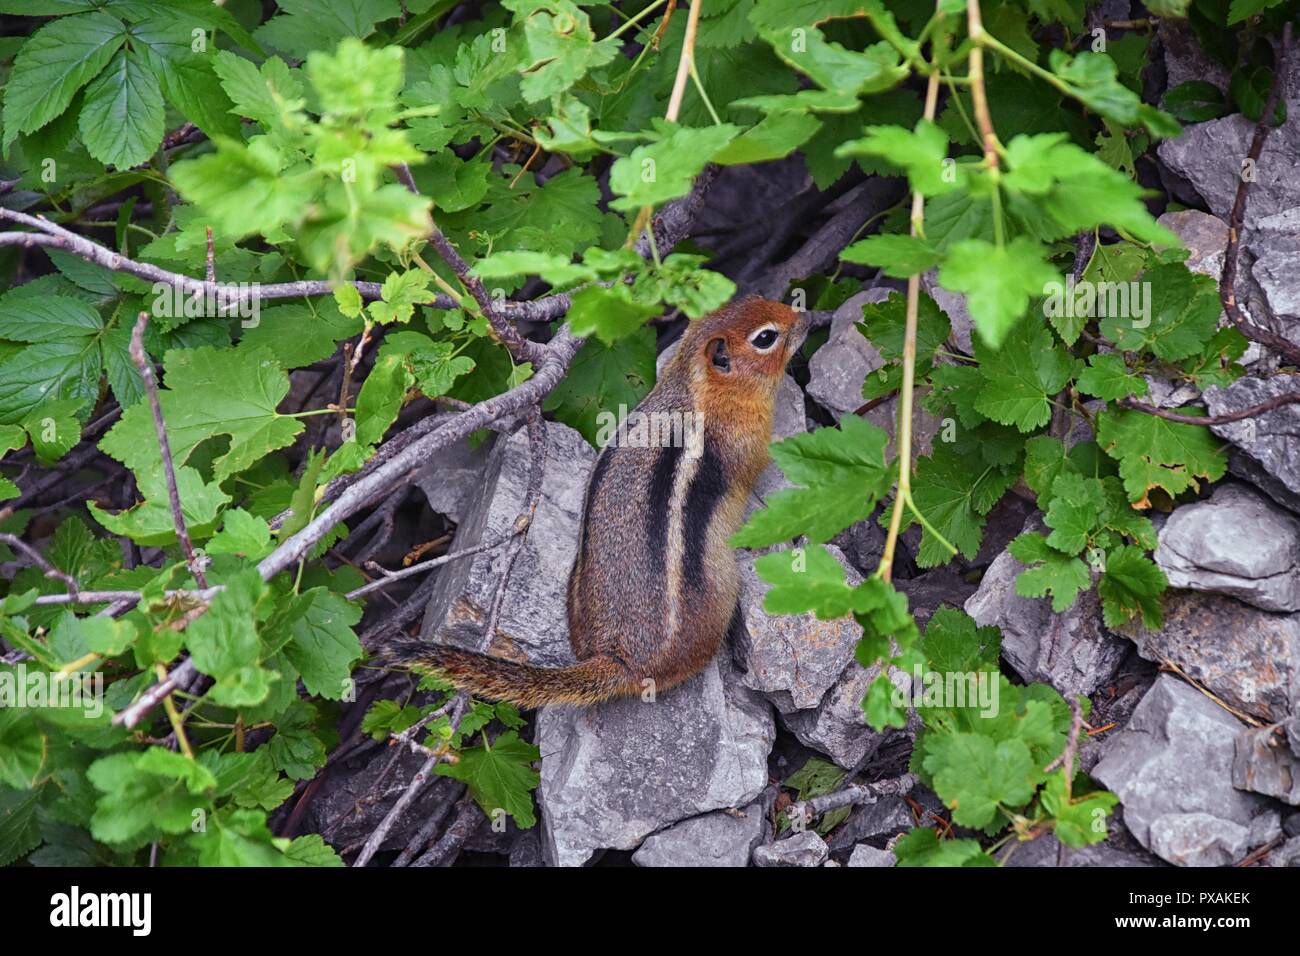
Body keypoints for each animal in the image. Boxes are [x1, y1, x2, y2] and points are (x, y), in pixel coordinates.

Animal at [391, 296, 808, 708]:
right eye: (766, 338)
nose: (807, 318)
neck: (696, 386)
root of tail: (615, 658)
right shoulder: (743, 446)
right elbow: (759, 465)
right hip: (720, 588)